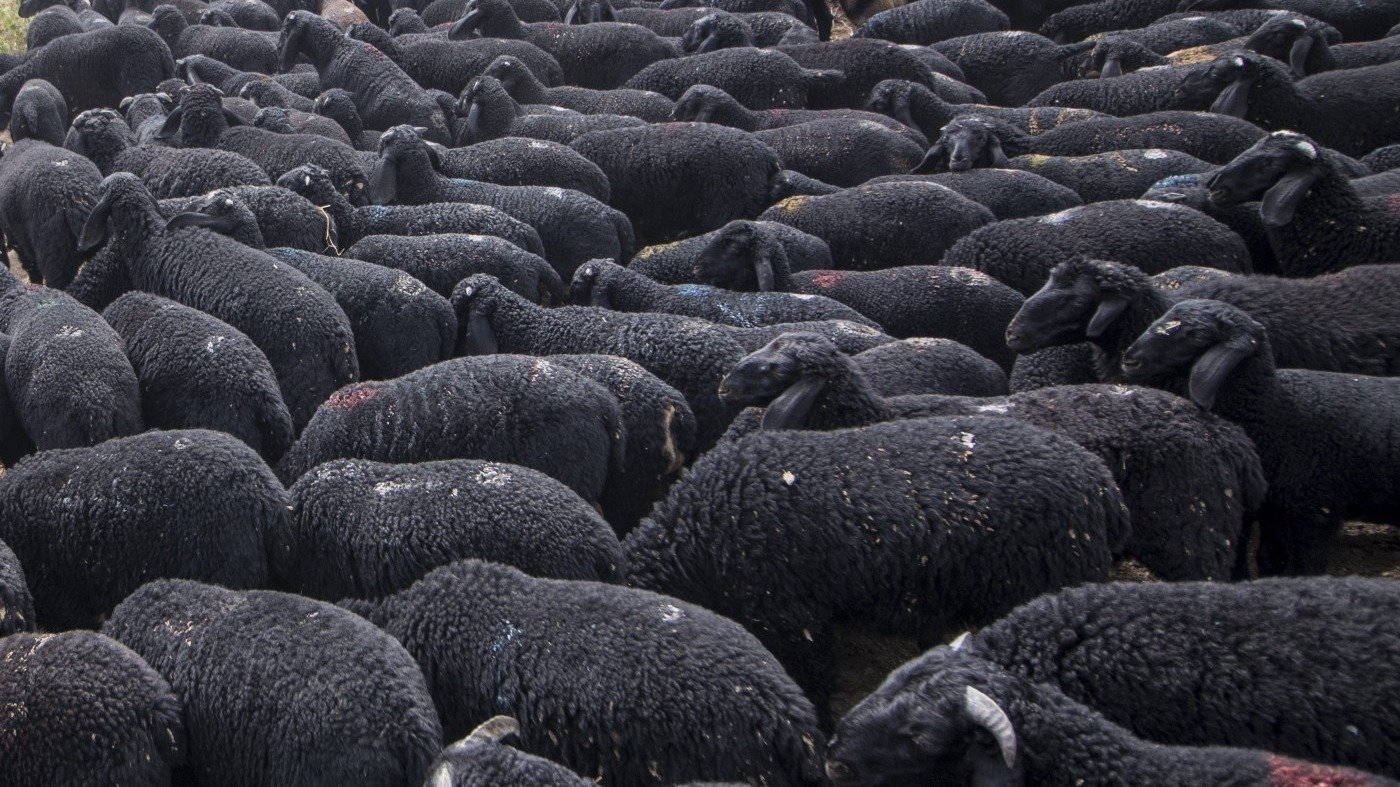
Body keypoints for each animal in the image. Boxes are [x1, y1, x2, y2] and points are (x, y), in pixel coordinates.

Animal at [1122, 298, 1400, 575]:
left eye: (1198, 335)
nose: (1129, 360)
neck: (1274, 408)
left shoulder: (1316, 513)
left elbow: (1306, 566)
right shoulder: (1271, 512)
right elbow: (1267, 560)